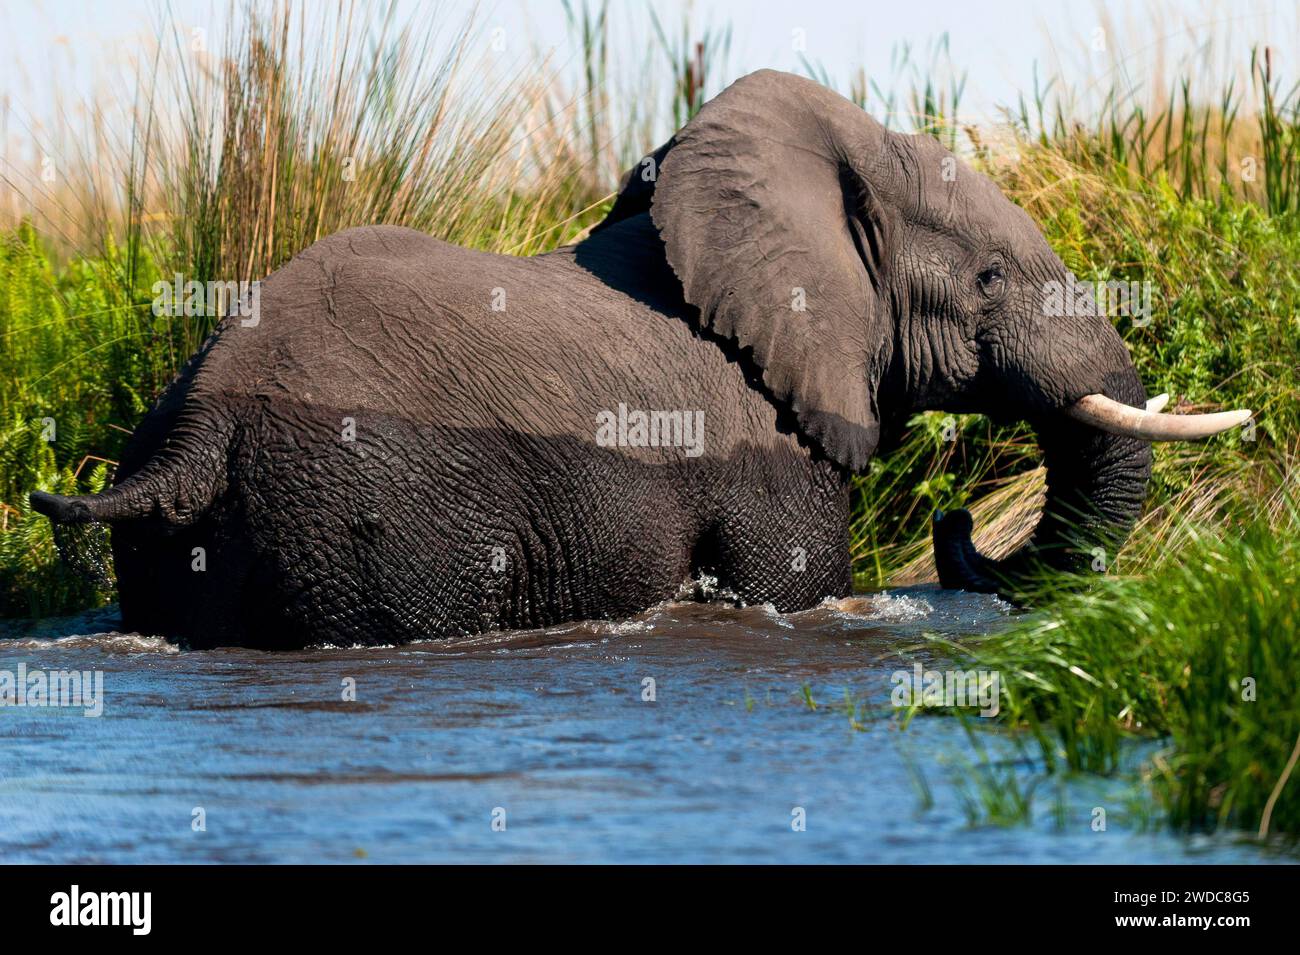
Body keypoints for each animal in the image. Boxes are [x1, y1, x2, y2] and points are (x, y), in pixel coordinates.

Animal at [31, 70, 1248, 649]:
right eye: (989, 280)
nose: (957, 529)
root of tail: (194, 428)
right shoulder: (764, 451)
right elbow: (794, 584)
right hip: (363, 514)